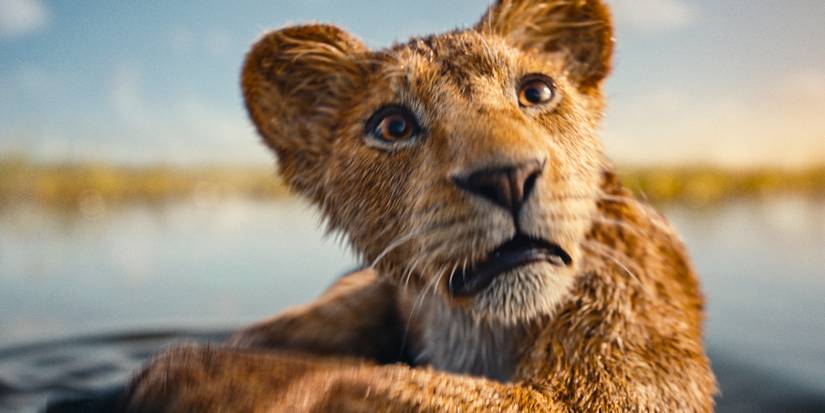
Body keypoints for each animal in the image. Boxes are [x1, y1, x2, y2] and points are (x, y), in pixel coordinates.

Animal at [119, 0, 717, 411]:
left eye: (537, 92)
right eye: (393, 126)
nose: (507, 177)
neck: (478, 329)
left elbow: (359, 380)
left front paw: (202, 373)